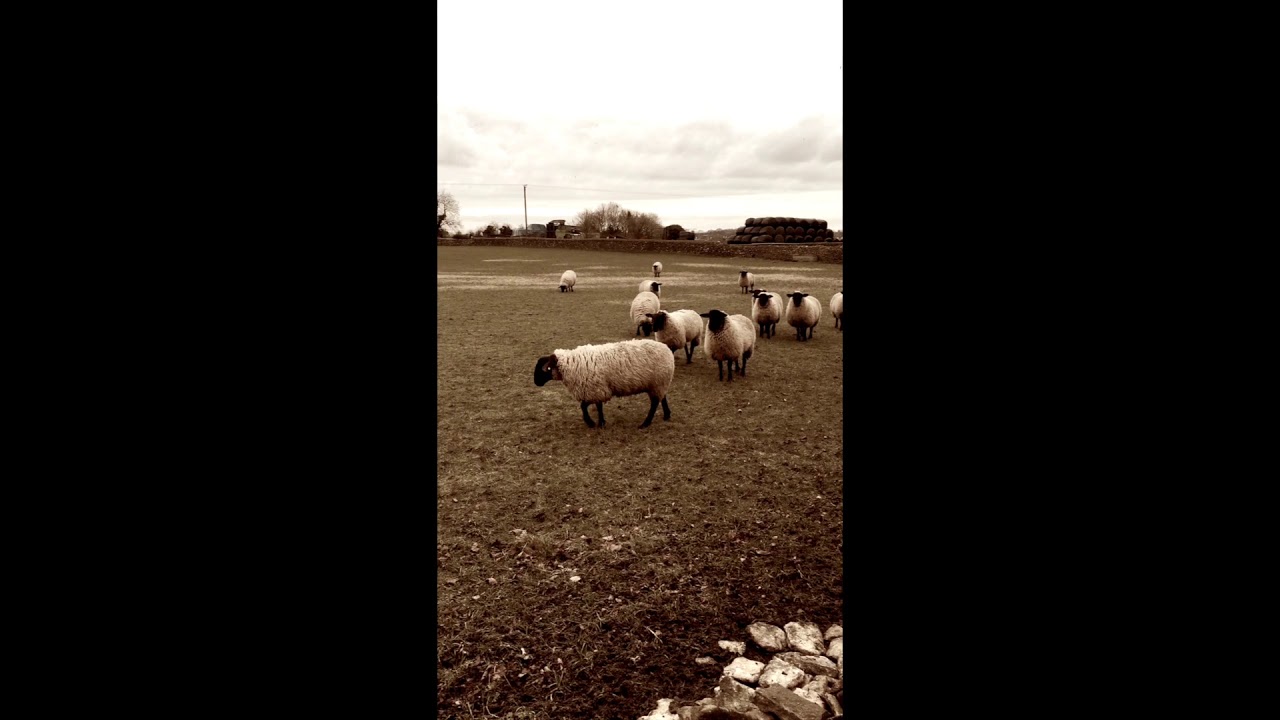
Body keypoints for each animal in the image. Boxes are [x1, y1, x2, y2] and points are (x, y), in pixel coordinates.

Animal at [533, 339, 674, 429]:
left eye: (542, 369)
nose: (536, 382)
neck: (570, 364)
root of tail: (667, 349)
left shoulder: (595, 389)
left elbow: (586, 406)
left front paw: (594, 423)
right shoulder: (596, 390)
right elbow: (594, 406)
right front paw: (599, 422)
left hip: (658, 382)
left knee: (655, 403)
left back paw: (645, 423)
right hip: (659, 383)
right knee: (662, 397)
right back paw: (666, 415)